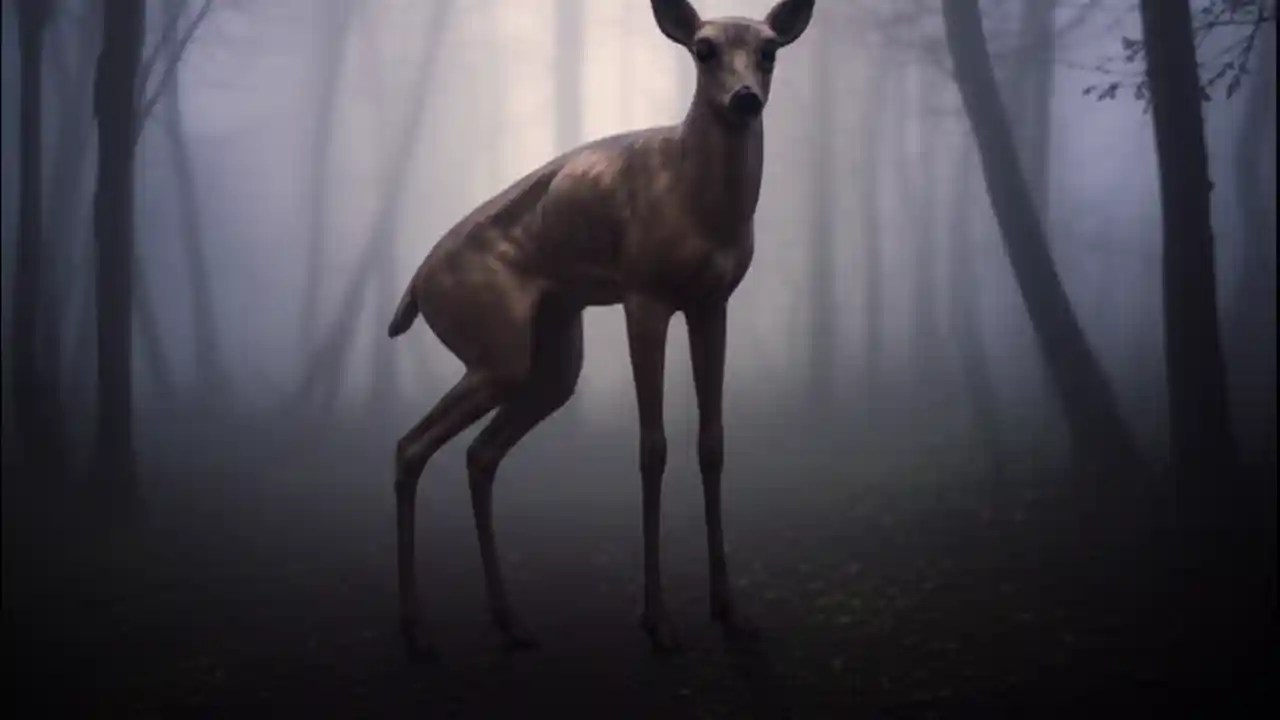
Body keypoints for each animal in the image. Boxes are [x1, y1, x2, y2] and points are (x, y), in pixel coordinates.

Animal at [387, 0, 814, 661]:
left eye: (769, 49)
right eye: (703, 49)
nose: (744, 98)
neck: (695, 201)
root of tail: (415, 287)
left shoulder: (712, 303)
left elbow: (712, 443)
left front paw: (731, 612)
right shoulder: (645, 297)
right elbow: (651, 447)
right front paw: (658, 621)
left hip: (554, 359)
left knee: (479, 453)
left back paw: (511, 623)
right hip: (495, 349)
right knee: (411, 447)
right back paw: (417, 632)